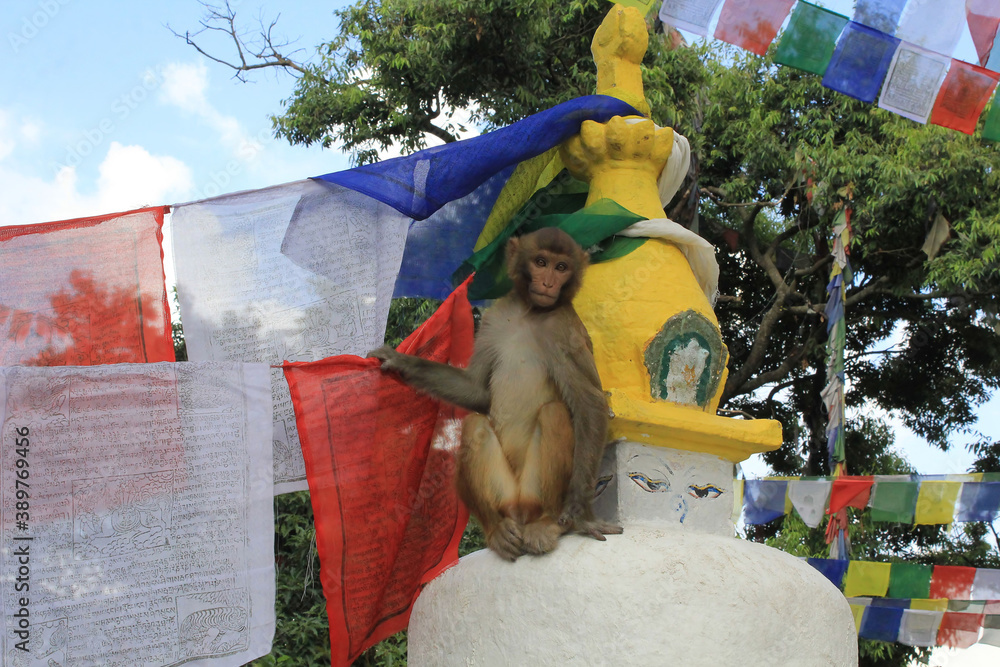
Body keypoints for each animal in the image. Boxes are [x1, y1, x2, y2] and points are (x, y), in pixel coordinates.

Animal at [370, 227, 621, 561]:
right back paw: (496, 528)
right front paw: (400, 362)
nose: (548, 283)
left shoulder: (564, 328)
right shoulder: (494, 318)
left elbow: (589, 402)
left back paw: (547, 523)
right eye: (541, 262)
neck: (530, 312)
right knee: (475, 424)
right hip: (507, 494)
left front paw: (581, 513)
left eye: (561, 267)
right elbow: (476, 390)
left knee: (553, 413)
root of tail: (522, 512)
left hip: (533, 490)